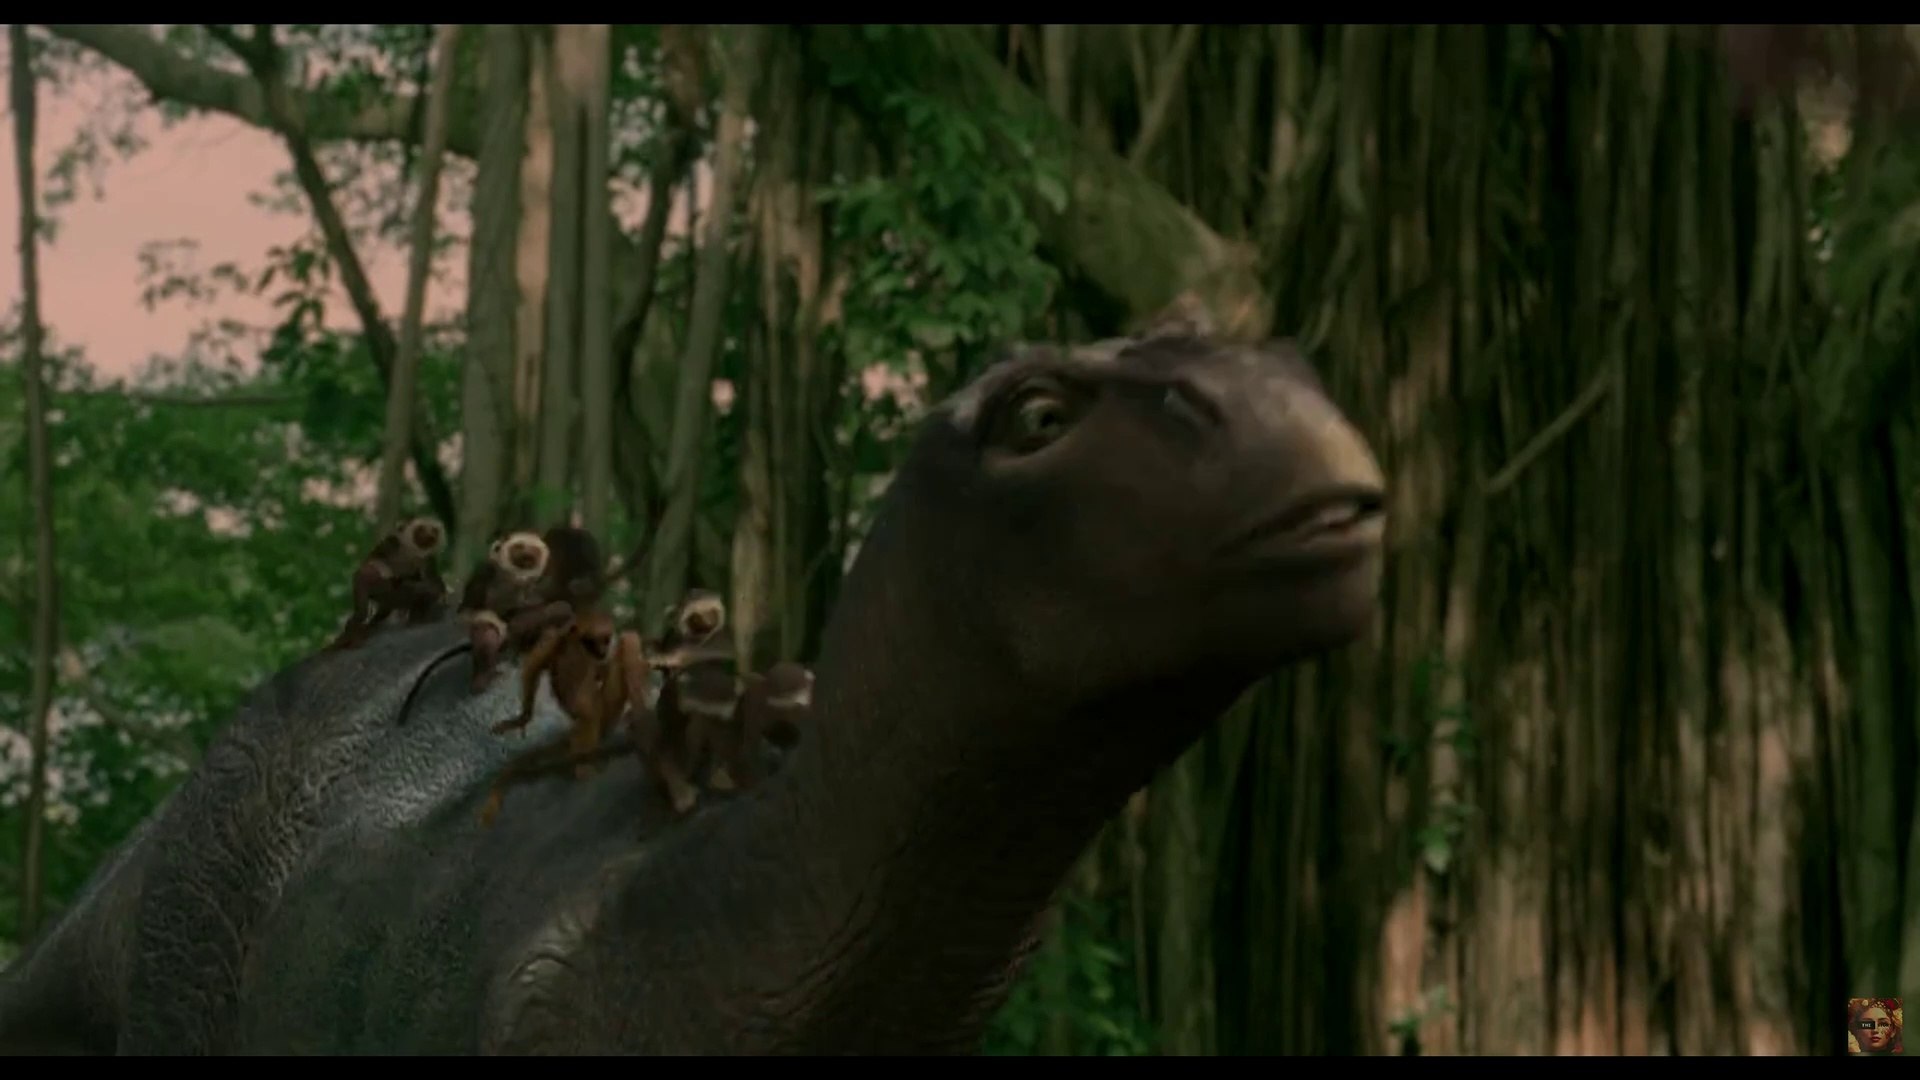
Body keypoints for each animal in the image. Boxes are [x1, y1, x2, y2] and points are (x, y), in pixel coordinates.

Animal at [324, 516, 449, 652]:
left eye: (434, 530)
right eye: (420, 529)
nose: (430, 535)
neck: (413, 551)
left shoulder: (427, 560)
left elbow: (430, 579)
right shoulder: (392, 543)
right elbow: (375, 559)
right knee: (362, 610)